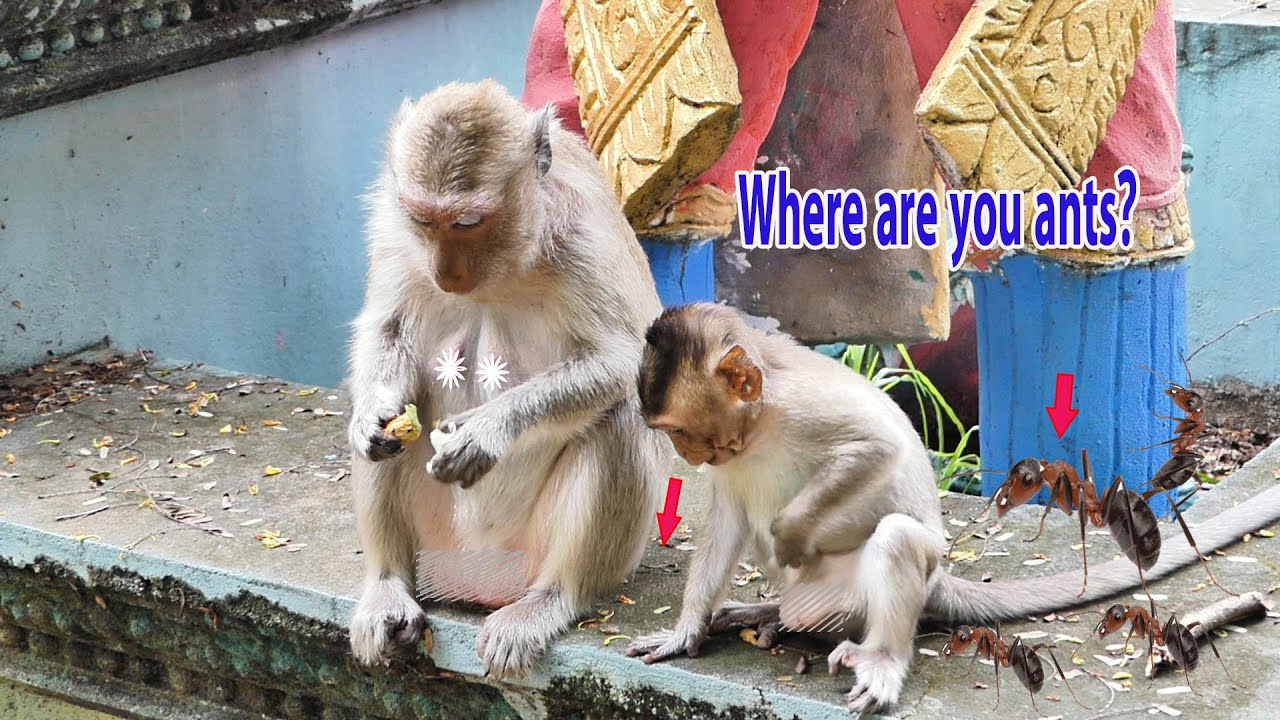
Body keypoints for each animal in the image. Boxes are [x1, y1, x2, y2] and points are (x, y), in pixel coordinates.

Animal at [345, 79, 668, 679]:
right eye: (424, 220)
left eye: (468, 223)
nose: (446, 273)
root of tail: (478, 577)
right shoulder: (391, 229)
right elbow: (386, 326)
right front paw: (372, 414)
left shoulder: (583, 234)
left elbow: (622, 361)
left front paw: (487, 430)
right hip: (437, 536)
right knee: (388, 441)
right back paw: (387, 585)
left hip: (533, 548)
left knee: (620, 415)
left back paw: (553, 599)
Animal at [625, 302, 1280, 715]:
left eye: (678, 430)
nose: (684, 451)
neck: (758, 423)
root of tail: (937, 585)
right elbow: (727, 523)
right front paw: (685, 632)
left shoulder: (798, 406)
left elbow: (876, 448)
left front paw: (789, 540)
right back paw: (759, 612)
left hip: (845, 597)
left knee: (894, 539)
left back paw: (881, 660)